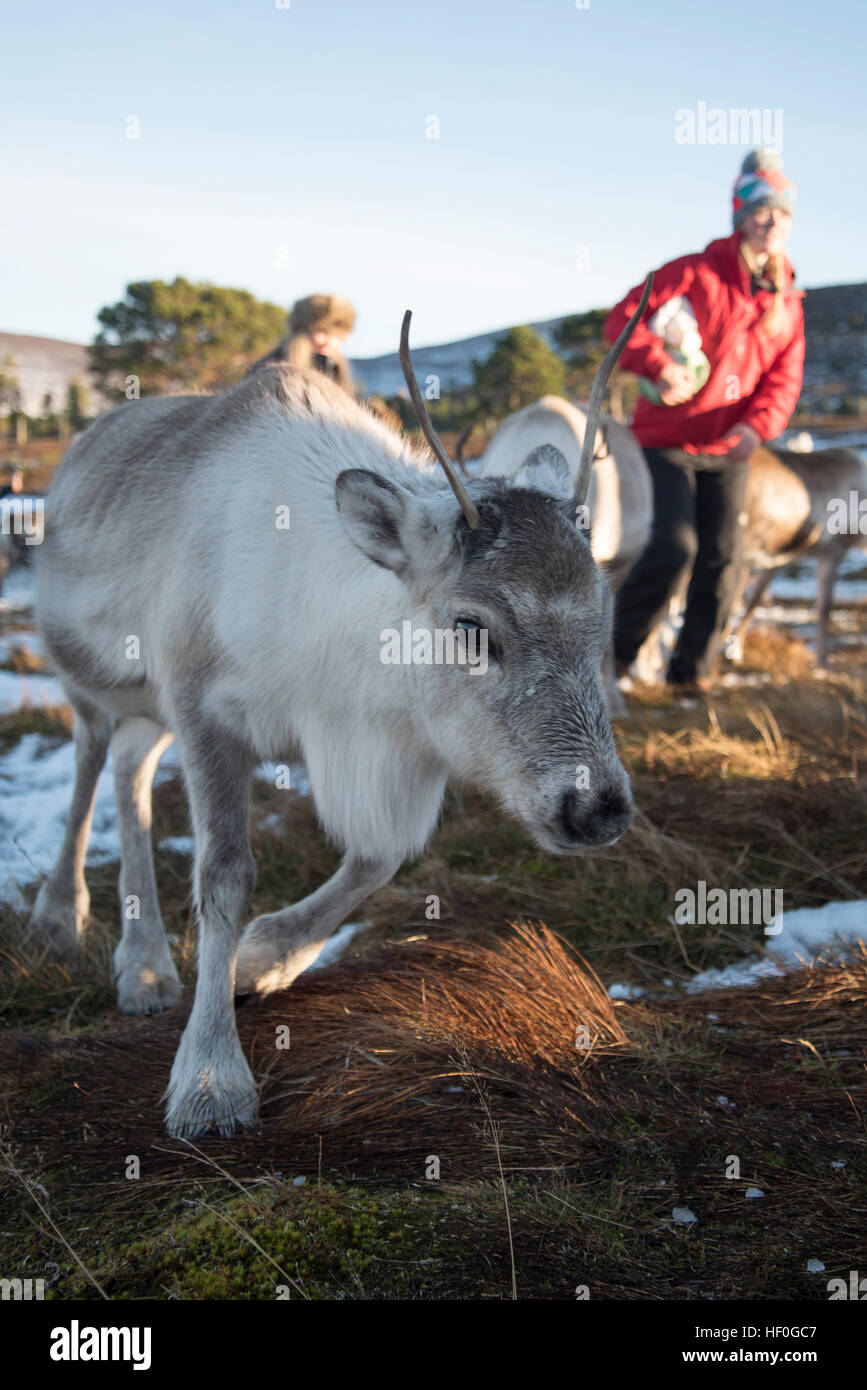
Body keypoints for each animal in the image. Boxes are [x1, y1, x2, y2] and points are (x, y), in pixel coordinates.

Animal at [28, 279, 652, 1138]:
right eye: (471, 625)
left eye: (602, 616)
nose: (596, 808)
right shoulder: (201, 704)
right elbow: (224, 874)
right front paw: (210, 1080)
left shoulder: (395, 741)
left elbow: (377, 857)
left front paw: (264, 958)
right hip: (90, 676)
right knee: (92, 757)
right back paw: (63, 920)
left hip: (149, 713)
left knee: (129, 771)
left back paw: (145, 966)